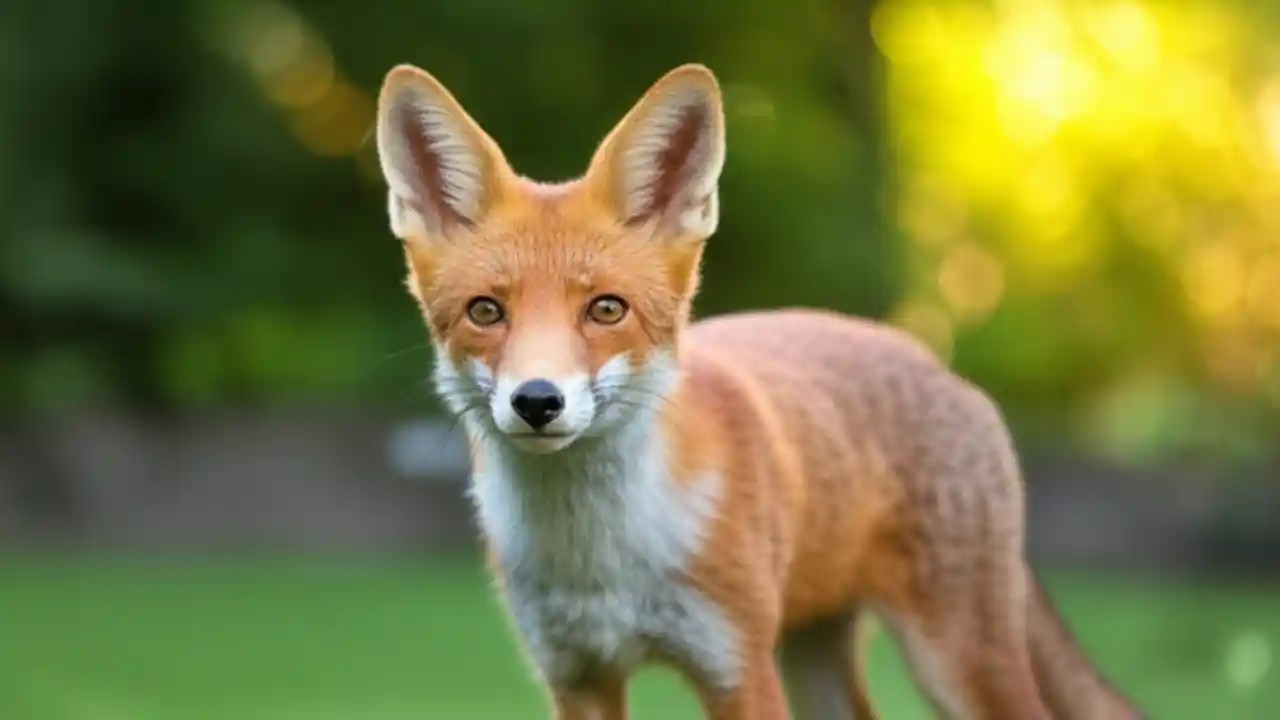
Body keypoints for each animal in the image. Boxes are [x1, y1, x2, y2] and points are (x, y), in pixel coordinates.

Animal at [373, 62, 1142, 720]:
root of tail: (930, 358)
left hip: (956, 659)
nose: (537, 401)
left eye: (606, 309)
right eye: (485, 312)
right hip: (815, 653)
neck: (605, 559)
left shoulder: (736, 668)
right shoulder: (577, 674)